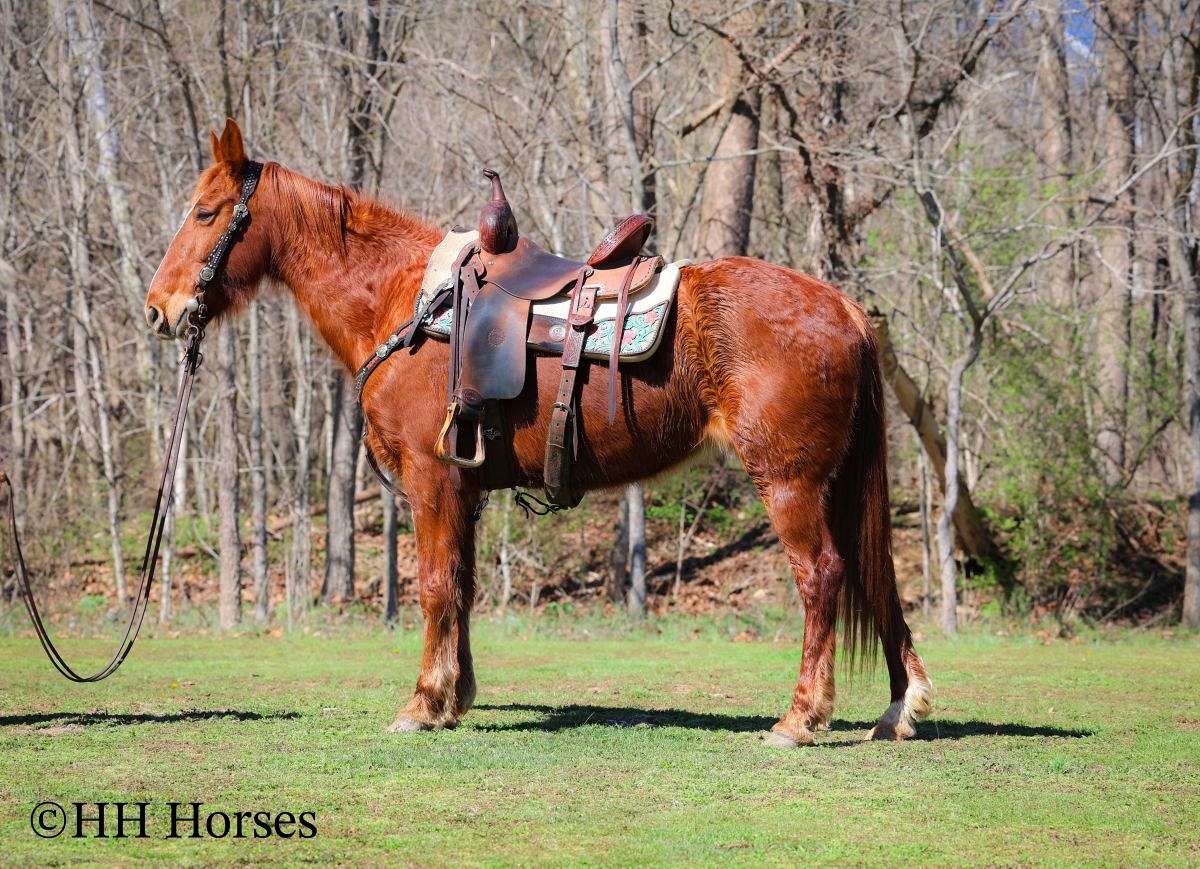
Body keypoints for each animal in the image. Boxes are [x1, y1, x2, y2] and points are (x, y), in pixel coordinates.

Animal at [145, 120, 932, 747]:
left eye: (206, 211)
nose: (159, 307)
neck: (405, 302)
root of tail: (842, 307)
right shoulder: (463, 490)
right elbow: (460, 587)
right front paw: (454, 698)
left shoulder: (433, 482)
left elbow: (434, 587)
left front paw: (421, 704)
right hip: (835, 484)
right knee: (876, 573)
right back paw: (898, 707)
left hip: (790, 483)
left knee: (822, 575)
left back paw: (799, 718)